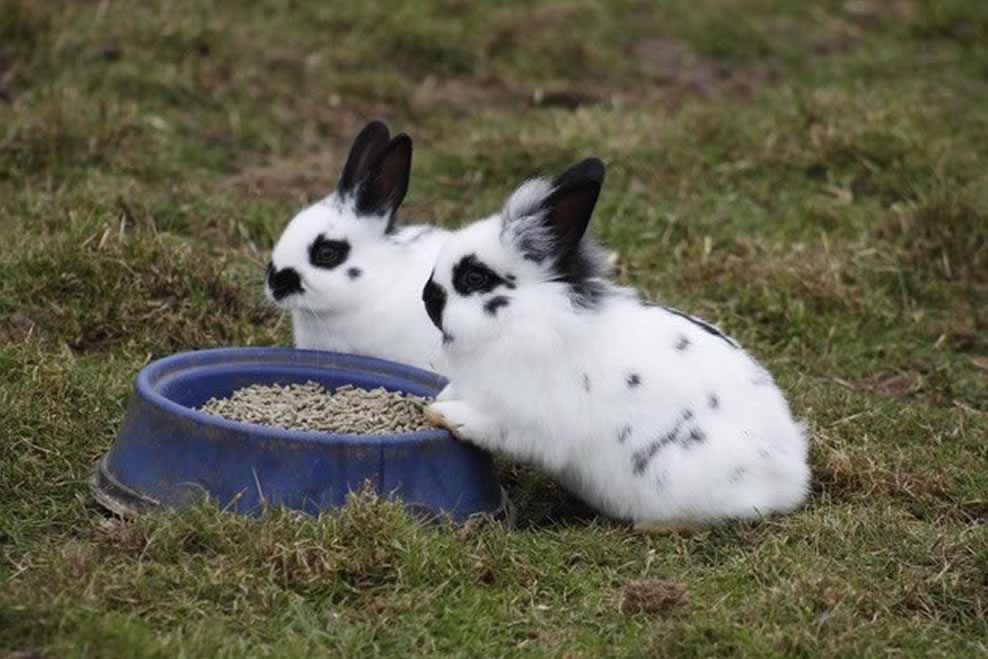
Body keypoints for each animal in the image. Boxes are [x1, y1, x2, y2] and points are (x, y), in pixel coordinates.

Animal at [421, 157, 810, 527]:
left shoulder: (523, 420)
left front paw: (445, 416)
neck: (530, 315)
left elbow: (488, 424)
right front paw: (440, 400)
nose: (427, 298)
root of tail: (792, 478)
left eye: (475, 278)